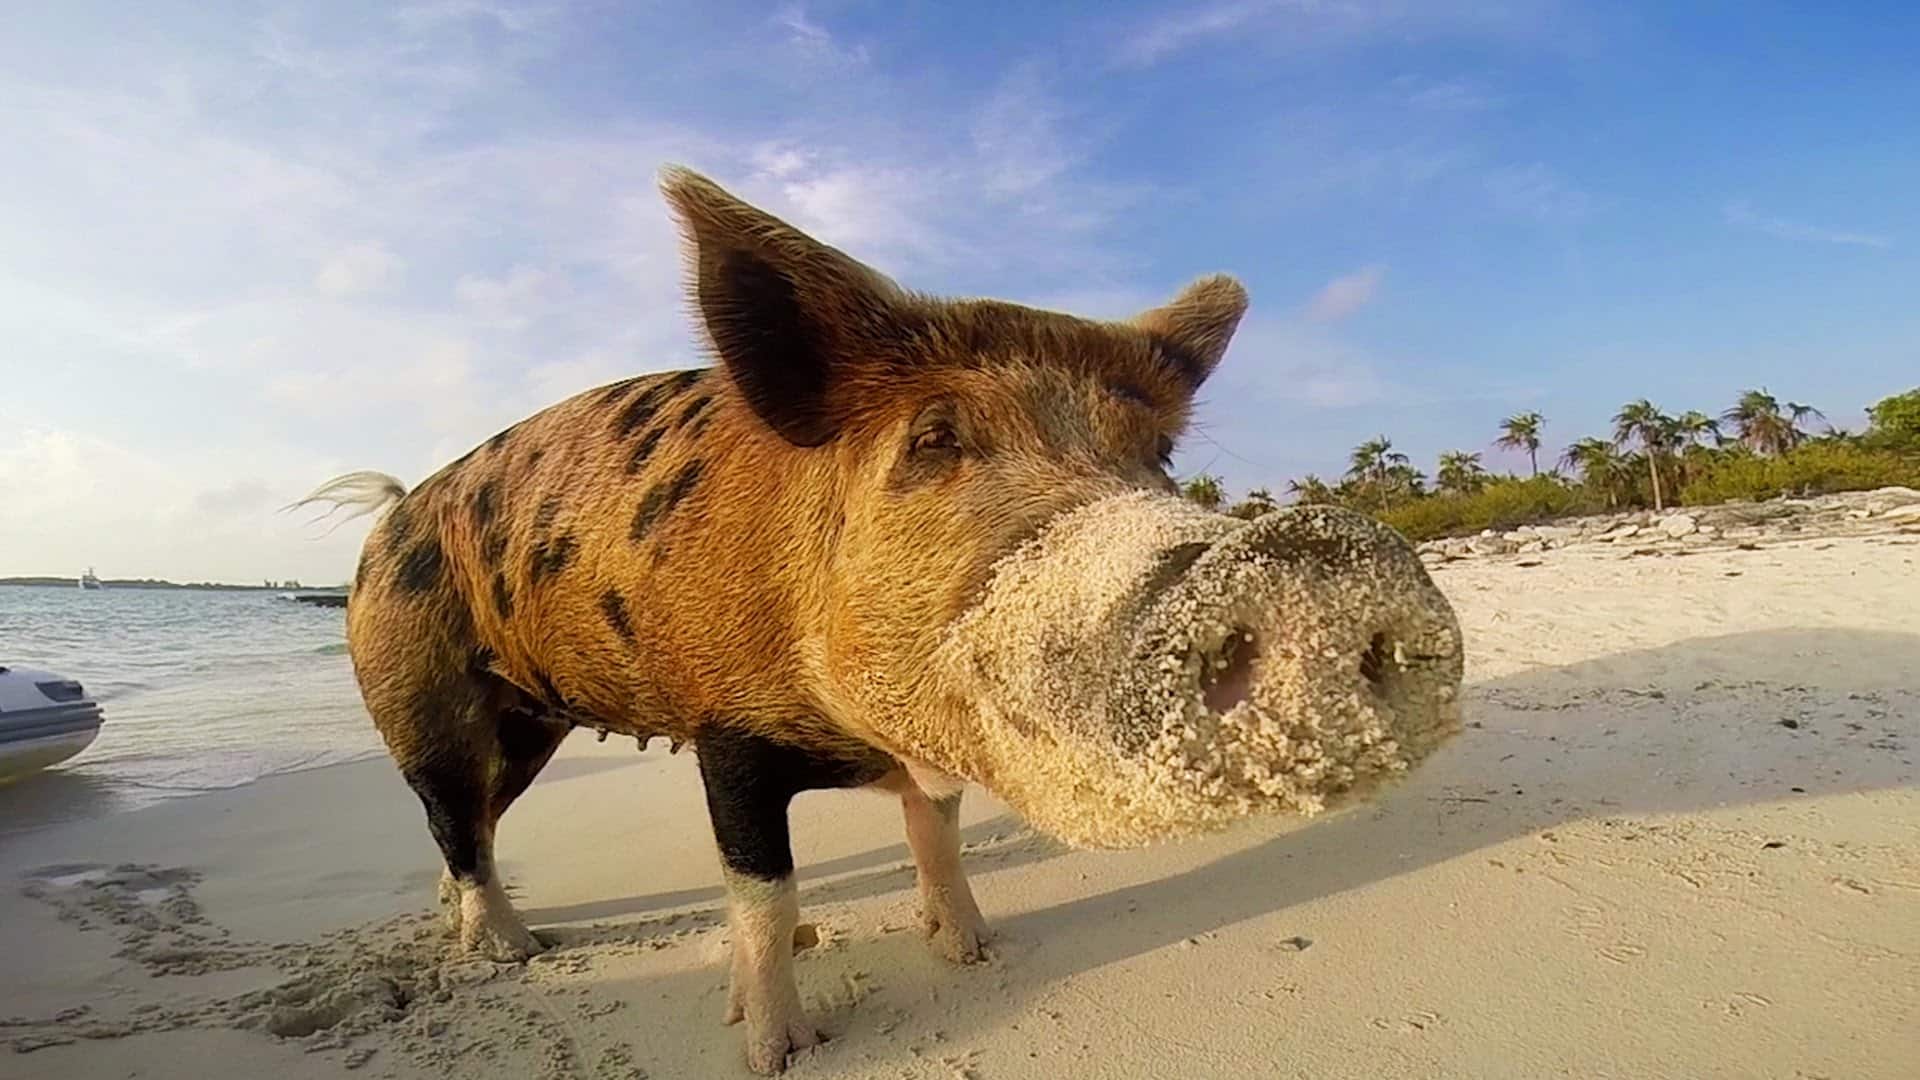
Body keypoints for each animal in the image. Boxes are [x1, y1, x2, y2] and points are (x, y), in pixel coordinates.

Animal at [295, 166, 1464, 1074]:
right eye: (935, 440)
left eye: (1161, 455)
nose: (1307, 560)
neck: (861, 737)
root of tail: (390, 515)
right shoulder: (724, 733)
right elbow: (762, 892)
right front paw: (776, 1050)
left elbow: (934, 835)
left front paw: (974, 953)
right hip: (418, 695)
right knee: (453, 816)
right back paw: (513, 954)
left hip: (530, 724)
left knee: (479, 824)